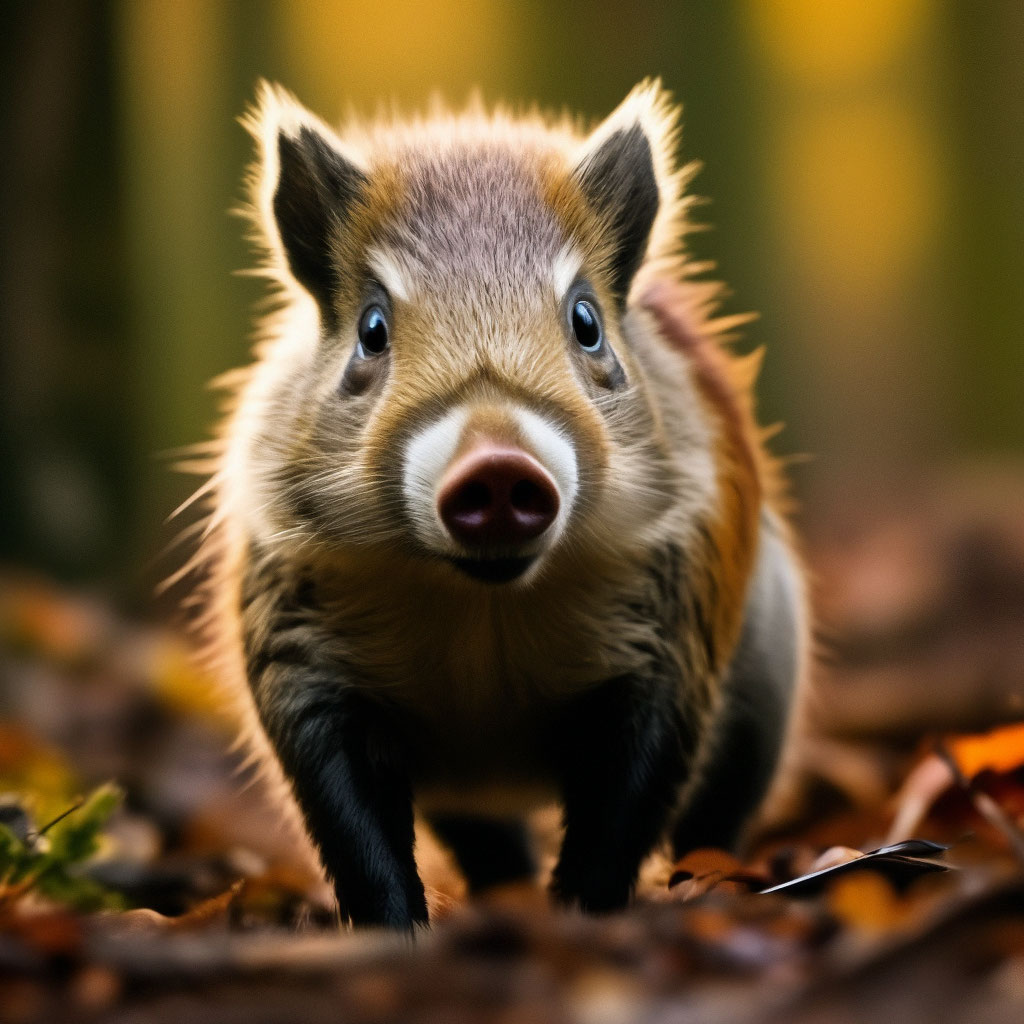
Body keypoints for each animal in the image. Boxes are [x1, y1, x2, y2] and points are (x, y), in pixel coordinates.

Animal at [183, 80, 809, 930]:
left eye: (586, 321)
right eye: (371, 329)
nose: (498, 464)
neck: (485, 611)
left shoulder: (674, 644)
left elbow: (620, 816)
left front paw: (578, 919)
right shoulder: (294, 658)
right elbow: (351, 827)